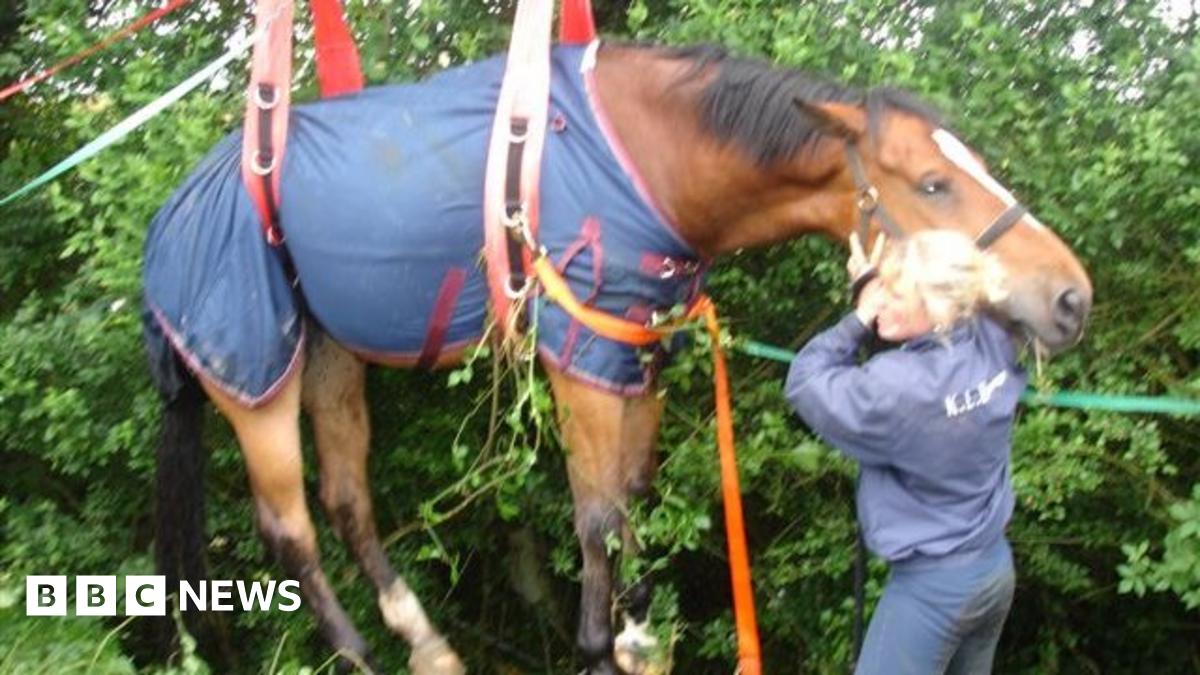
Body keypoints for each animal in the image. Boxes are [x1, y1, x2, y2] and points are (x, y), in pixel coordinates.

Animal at [143, 39, 1092, 674]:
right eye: (932, 184)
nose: (1071, 297)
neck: (648, 159)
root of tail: (173, 215)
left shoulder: (638, 354)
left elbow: (633, 497)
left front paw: (640, 635)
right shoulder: (583, 355)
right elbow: (597, 516)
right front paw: (602, 643)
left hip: (330, 356)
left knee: (347, 501)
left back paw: (428, 644)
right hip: (255, 377)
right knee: (289, 528)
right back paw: (361, 654)